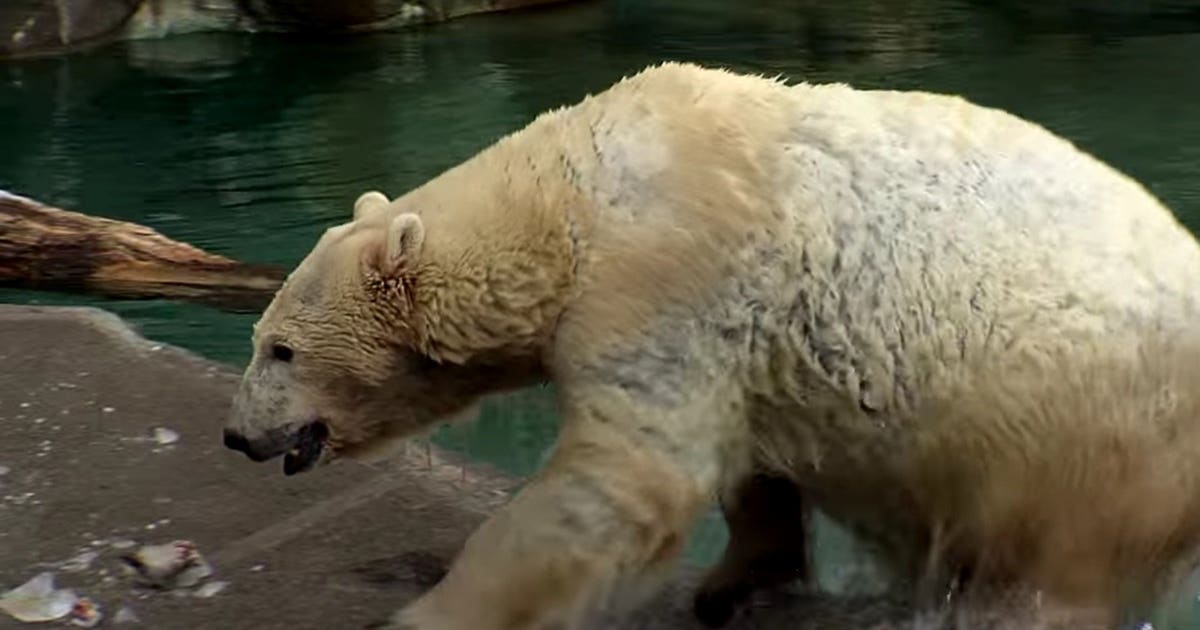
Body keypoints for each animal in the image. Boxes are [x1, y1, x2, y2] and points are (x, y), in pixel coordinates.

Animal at [222, 61, 1200, 629]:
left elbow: (623, 481)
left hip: (1092, 427)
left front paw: (431, 615)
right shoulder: (743, 332)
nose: (236, 435)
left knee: (1051, 562)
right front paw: (735, 581)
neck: (568, 203)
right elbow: (745, 460)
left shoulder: (663, 271)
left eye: (281, 350)